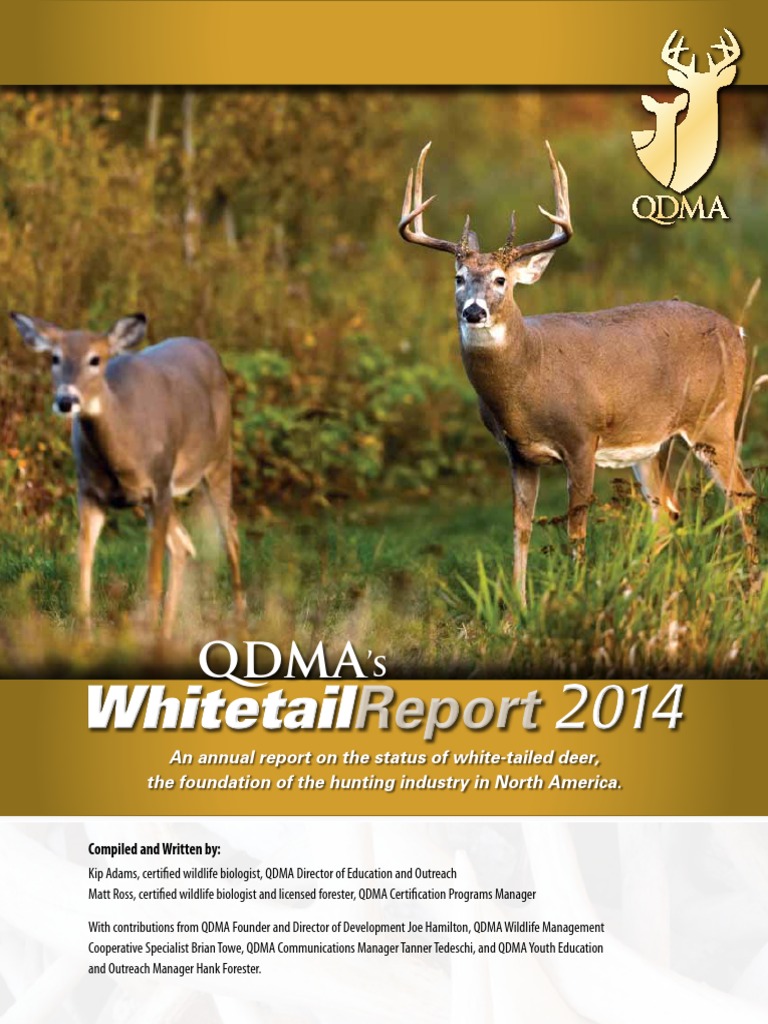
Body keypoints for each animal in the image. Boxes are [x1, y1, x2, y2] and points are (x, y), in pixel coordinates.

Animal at [10, 311, 245, 635]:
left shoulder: (159, 484)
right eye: (55, 358)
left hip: (218, 459)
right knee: (183, 543)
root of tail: (208, 350)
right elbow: (83, 568)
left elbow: (153, 578)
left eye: (95, 359)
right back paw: (167, 632)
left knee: (229, 533)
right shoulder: (89, 491)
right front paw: (85, 638)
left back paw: (240, 625)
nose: (66, 401)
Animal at [398, 141, 758, 606]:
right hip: (650, 444)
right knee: (666, 510)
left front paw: (576, 597)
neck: (528, 377)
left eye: (500, 280)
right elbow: (520, 529)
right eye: (459, 278)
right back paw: (637, 588)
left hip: (715, 419)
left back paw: (750, 589)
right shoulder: (517, 452)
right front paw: (518, 610)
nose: (474, 312)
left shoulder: (582, 438)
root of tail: (737, 331)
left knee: (743, 497)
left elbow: (576, 529)